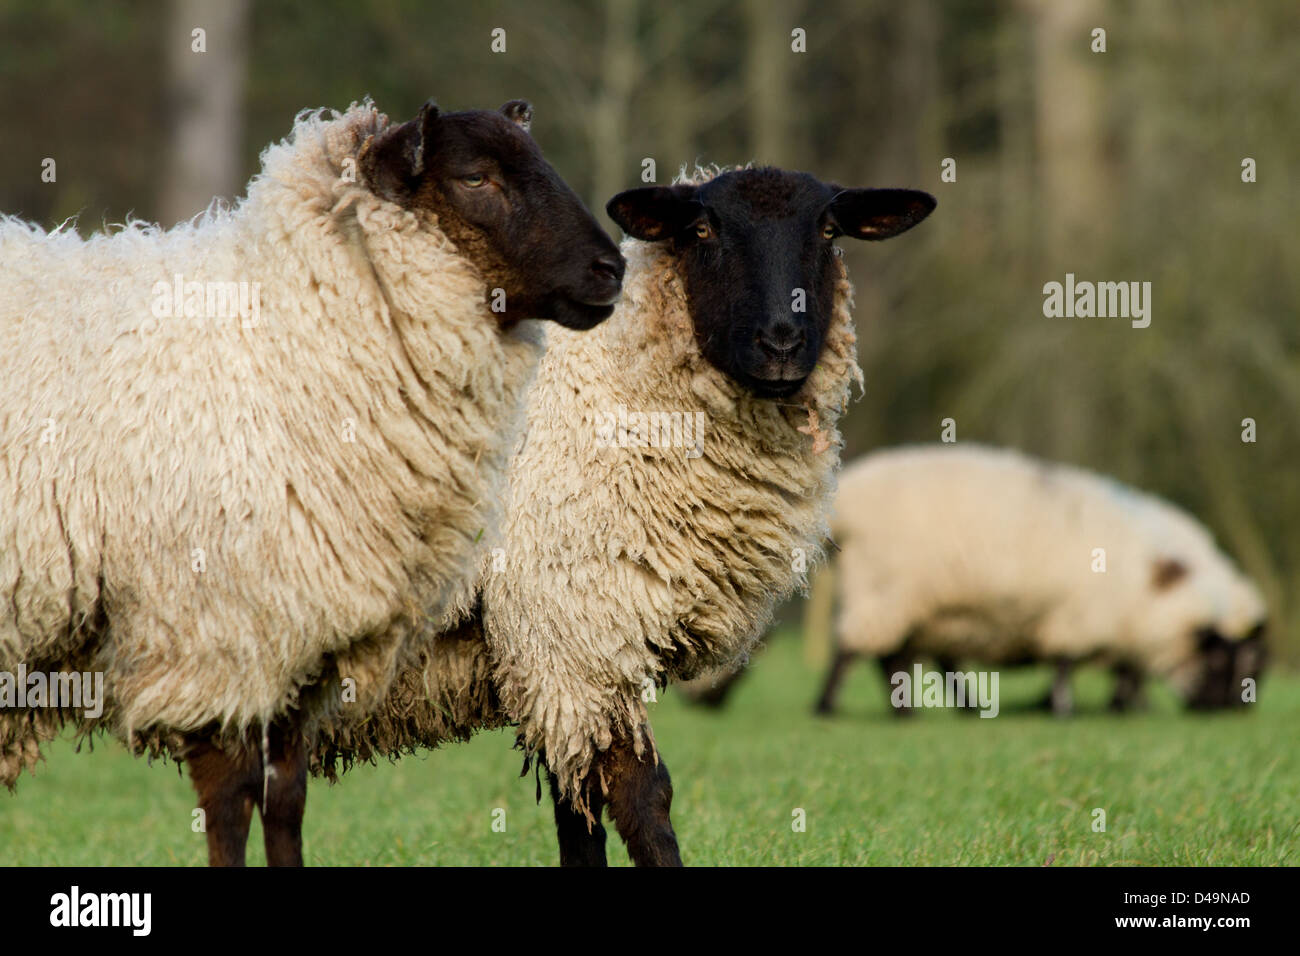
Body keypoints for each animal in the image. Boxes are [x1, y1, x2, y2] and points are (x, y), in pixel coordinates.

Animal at [0, 97, 624, 866]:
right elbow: (232, 802)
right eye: (475, 177)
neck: (291, 331)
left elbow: (287, 800)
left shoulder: (296, 639)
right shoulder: (219, 632)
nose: (611, 268)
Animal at [813, 444, 1269, 717]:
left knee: (901, 659)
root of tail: (850, 498)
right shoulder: (1085, 614)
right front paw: (1064, 708)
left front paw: (1125, 706)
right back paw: (832, 707)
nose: (1231, 708)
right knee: (857, 651)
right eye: (1224, 660)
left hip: (920, 605)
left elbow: (1125, 670)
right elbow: (1068, 663)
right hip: (885, 588)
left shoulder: (1123, 627)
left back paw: (945, 708)